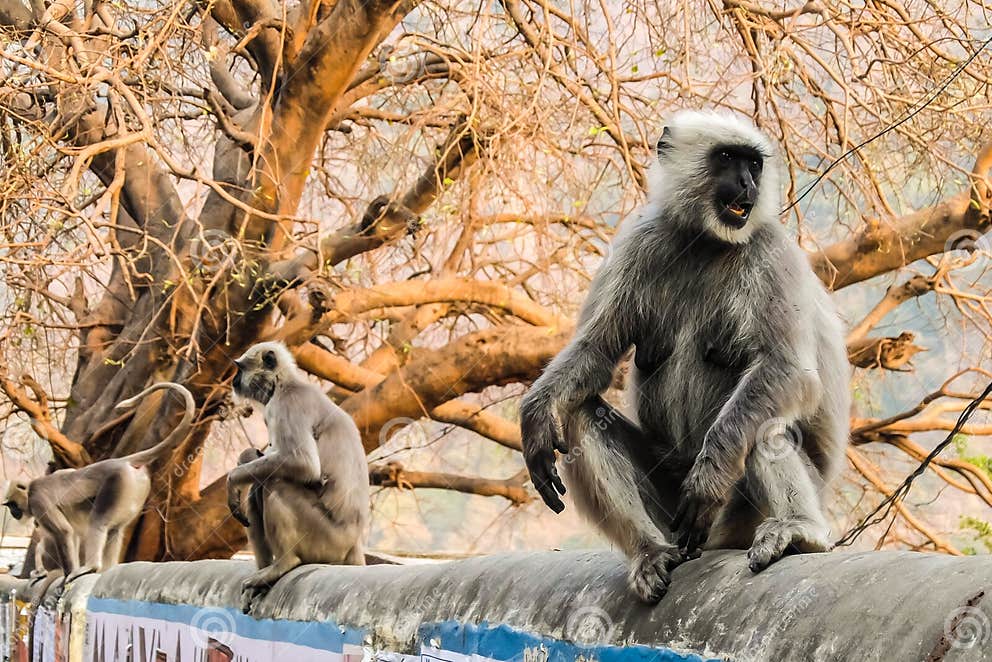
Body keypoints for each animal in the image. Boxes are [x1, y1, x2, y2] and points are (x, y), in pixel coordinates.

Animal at [3, 382, 195, 578]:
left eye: (12, 505)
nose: (13, 512)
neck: (31, 488)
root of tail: (122, 461)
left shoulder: (37, 500)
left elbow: (65, 532)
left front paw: (68, 574)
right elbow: (74, 533)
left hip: (117, 482)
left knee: (98, 521)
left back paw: (92, 566)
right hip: (135, 487)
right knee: (115, 530)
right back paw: (107, 569)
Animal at [227, 341, 369, 611]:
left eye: (239, 369)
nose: (233, 380)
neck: (284, 383)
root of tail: (354, 542)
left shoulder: (285, 404)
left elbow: (304, 464)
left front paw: (233, 479)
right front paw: (246, 457)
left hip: (327, 539)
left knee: (276, 484)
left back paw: (284, 564)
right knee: (259, 487)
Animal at [520, 110, 849, 603]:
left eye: (754, 164)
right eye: (728, 158)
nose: (749, 184)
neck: (706, 241)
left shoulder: (770, 248)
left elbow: (786, 369)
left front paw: (709, 475)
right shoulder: (641, 239)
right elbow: (595, 351)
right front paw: (536, 414)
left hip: (733, 515)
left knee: (763, 419)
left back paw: (799, 529)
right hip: (672, 514)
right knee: (581, 412)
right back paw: (649, 552)